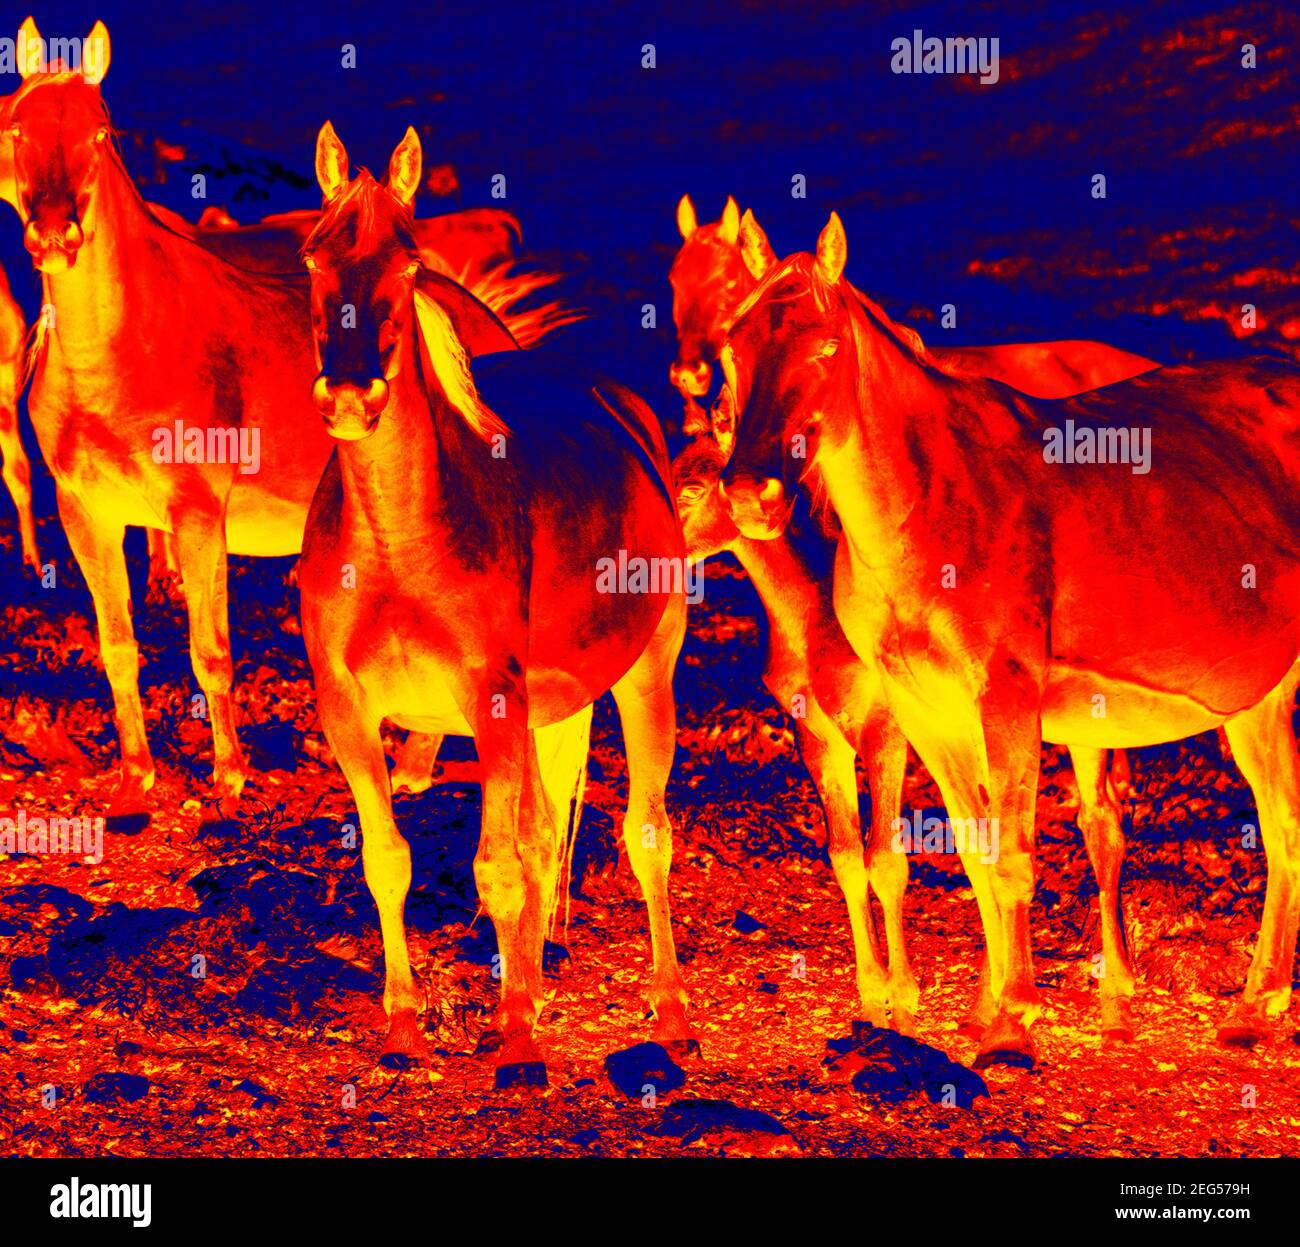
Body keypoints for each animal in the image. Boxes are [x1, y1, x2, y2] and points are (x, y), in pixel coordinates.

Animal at [296, 122, 691, 1084]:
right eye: (315, 257)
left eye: (405, 264)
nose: (350, 397)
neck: (399, 538)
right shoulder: (349, 713)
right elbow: (390, 859)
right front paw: (407, 1024)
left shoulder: (493, 702)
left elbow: (501, 867)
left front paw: (515, 1036)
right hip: (558, 707)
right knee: (551, 834)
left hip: (644, 678)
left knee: (646, 834)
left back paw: (668, 1011)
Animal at [718, 211, 1300, 1065]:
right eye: (734, 350)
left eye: (822, 347)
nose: (750, 494)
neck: (929, 500)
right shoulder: (927, 711)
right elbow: (976, 851)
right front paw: (989, 1004)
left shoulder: (1008, 694)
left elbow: (1016, 852)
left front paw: (1015, 1021)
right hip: (1261, 697)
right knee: (1286, 824)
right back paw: (1262, 996)